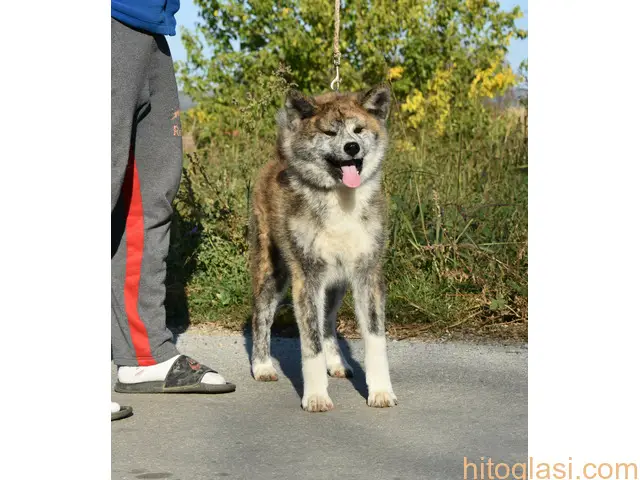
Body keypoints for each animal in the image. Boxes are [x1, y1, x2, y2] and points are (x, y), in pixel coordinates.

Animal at [249, 84, 396, 410]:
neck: (340, 199)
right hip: (272, 271)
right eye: (330, 132)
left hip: (337, 285)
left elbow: (375, 339)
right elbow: (310, 343)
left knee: (328, 322)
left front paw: (381, 391)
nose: (352, 147)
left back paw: (337, 363)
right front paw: (316, 396)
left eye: (358, 129)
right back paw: (262, 365)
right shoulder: (308, 278)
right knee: (261, 316)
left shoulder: (367, 274)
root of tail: (278, 159)